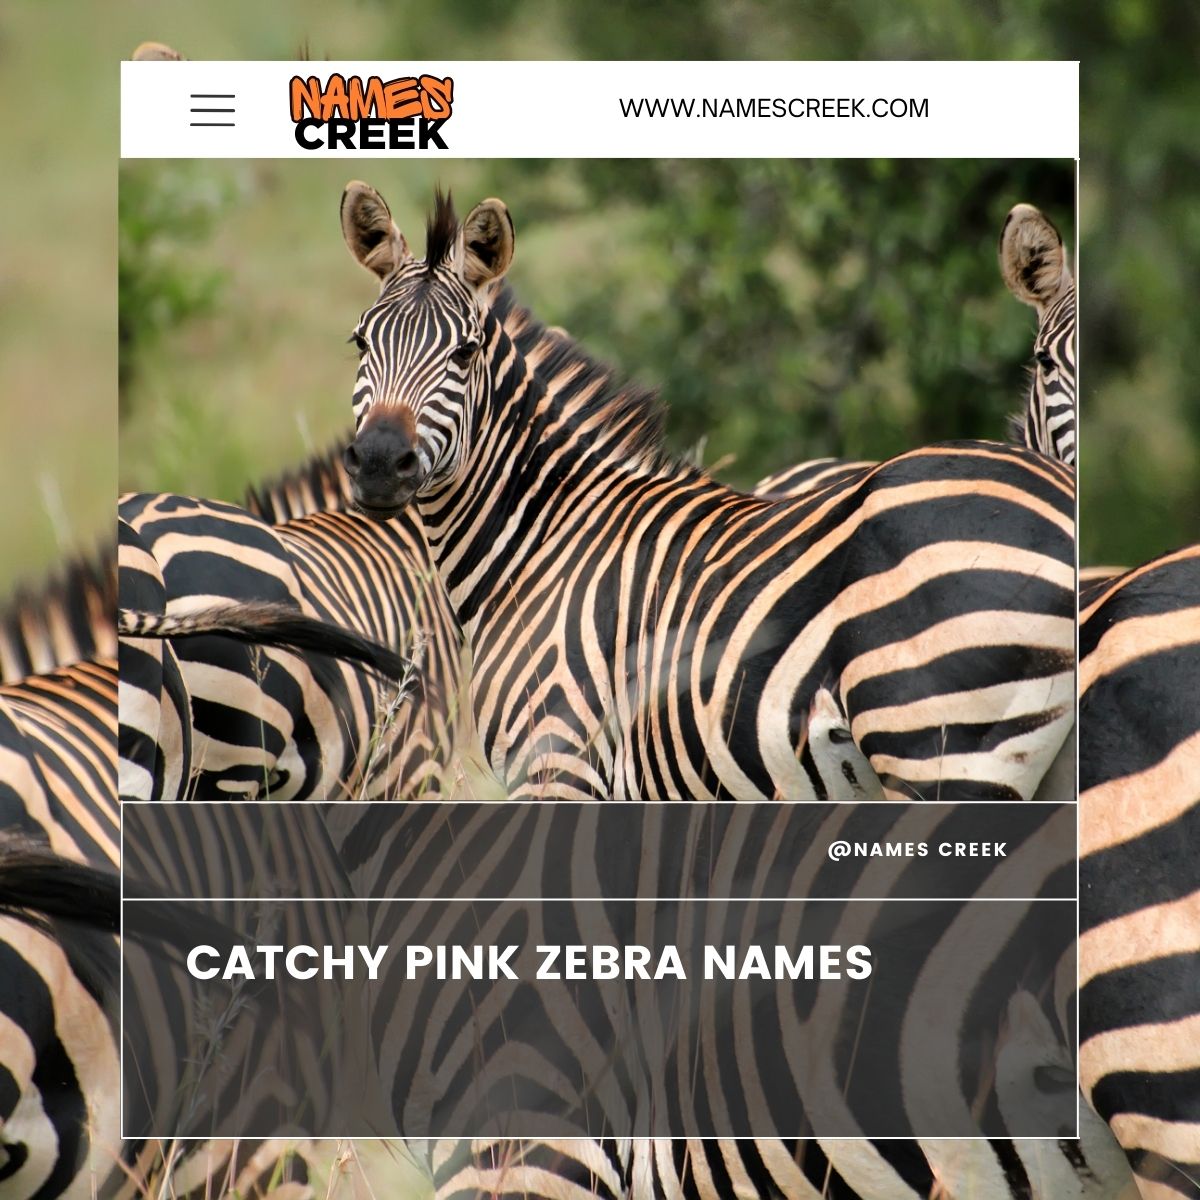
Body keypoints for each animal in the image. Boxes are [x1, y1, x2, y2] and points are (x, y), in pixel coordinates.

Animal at [334, 184, 1074, 803]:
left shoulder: (559, 758)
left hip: (940, 747)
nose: (378, 462)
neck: (542, 543)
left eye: (463, 354)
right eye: (359, 342)